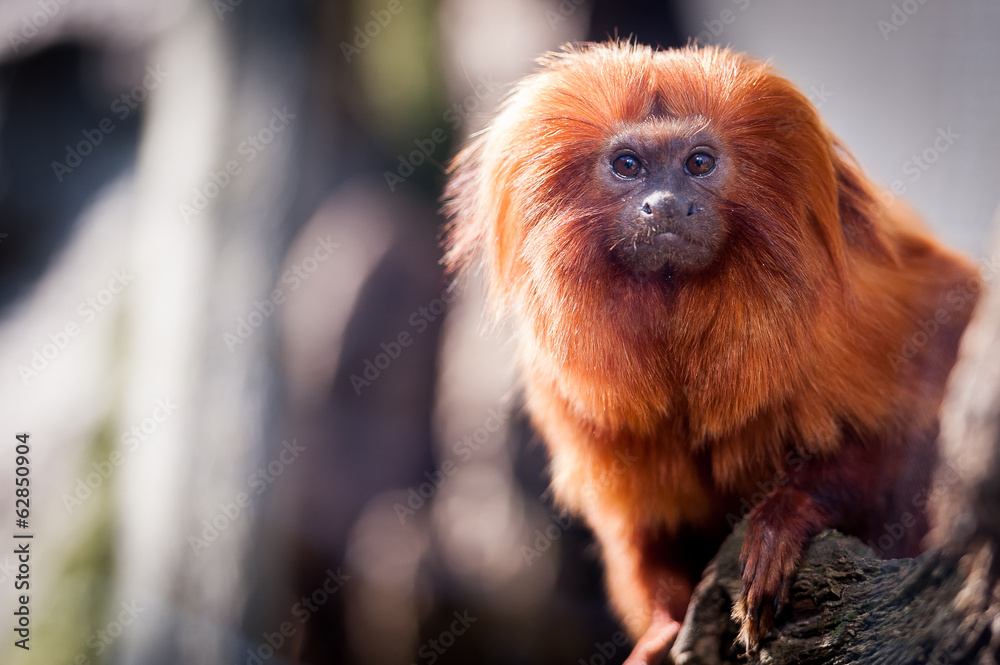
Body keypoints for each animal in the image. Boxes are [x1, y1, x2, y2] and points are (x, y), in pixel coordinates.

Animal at [441, 42, 980, 663]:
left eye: (698, 163)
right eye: (628, 166)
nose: (667, 205)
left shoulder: (875, 306)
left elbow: (906, 436)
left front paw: (786, 517)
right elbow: (640, 522)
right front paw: (661, 624)